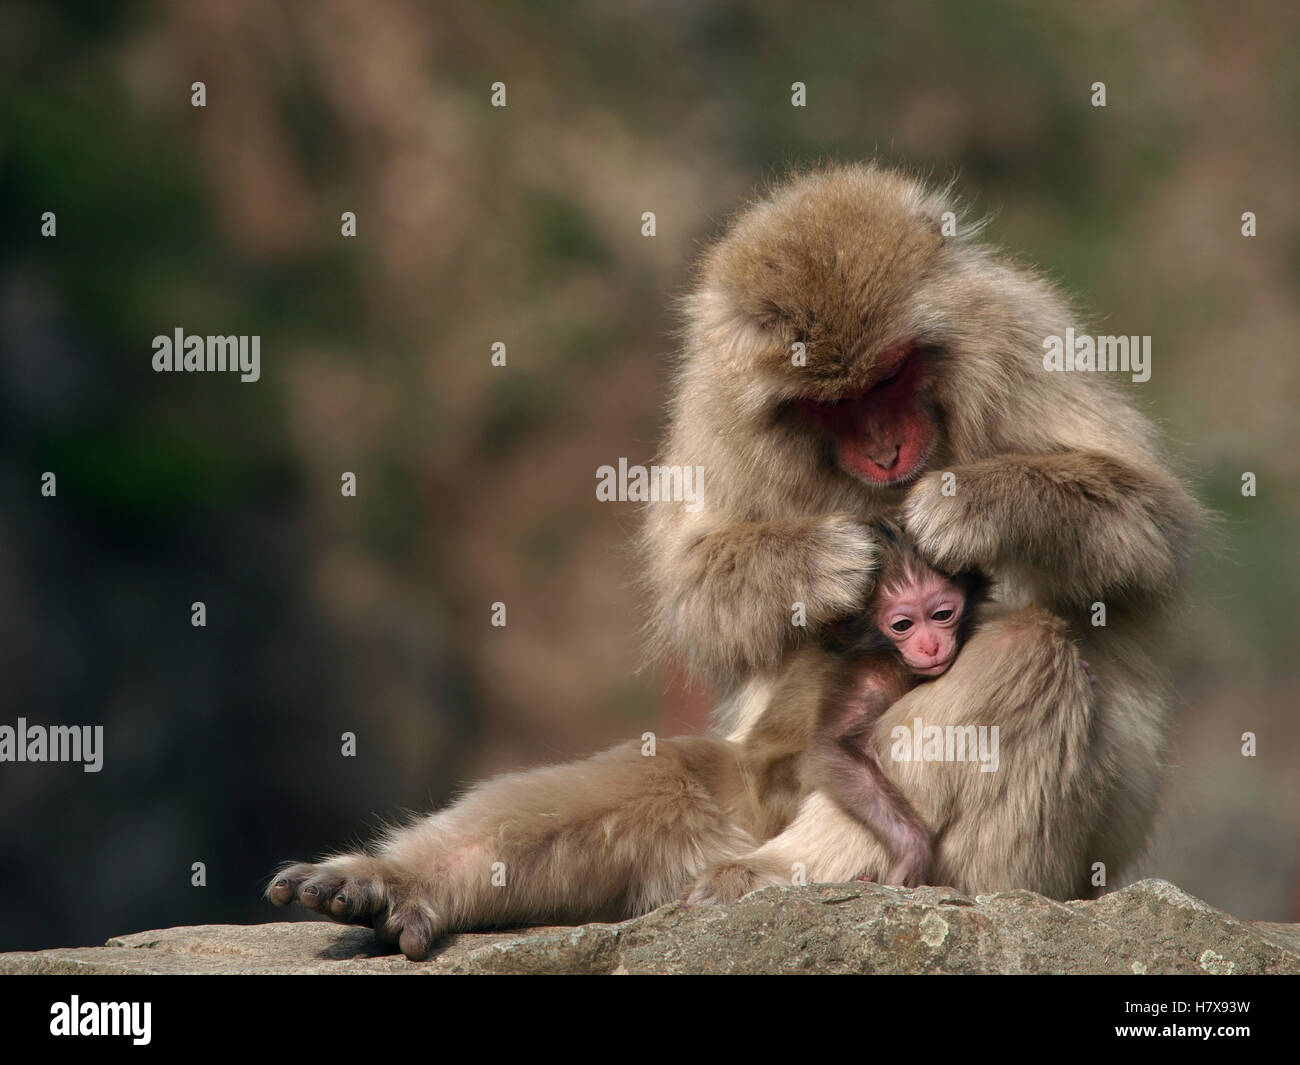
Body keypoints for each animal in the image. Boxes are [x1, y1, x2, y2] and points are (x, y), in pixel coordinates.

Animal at [742, 517, 987, 889]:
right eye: (903, 624)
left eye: (942, 614)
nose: (930, 646)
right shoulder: (870, 674)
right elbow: (835, 749)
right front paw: (911, 848)